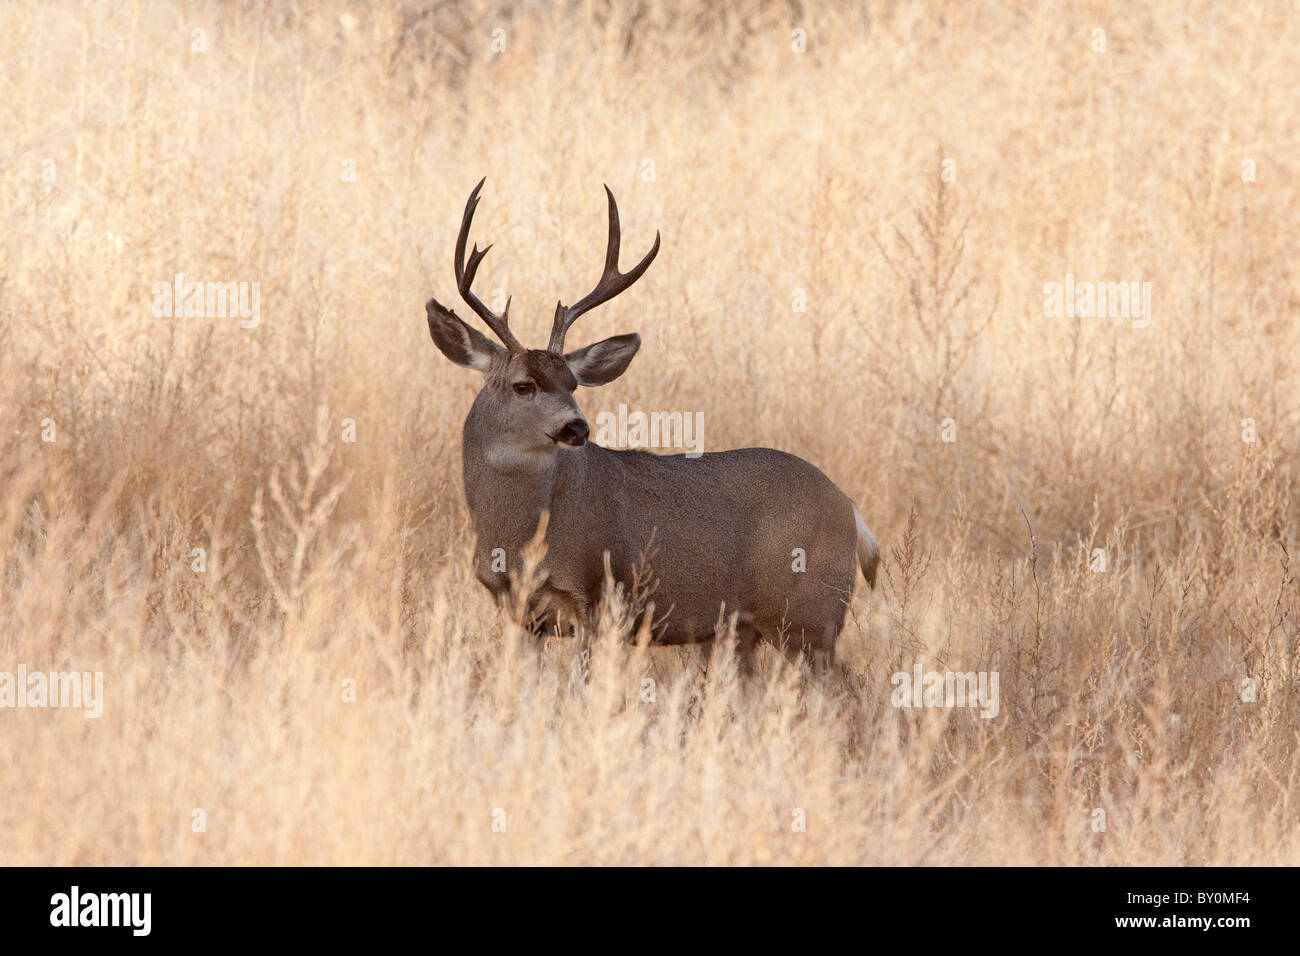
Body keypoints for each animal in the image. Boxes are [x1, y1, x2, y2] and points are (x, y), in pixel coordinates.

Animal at [425, 178, 880, 681]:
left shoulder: (597, 595)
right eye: (523, 385)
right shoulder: (521, 614)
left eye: (573, 383)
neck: (514, 534)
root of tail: (850, 509)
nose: (577, 427)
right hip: (746, 629)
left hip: (806, 613)